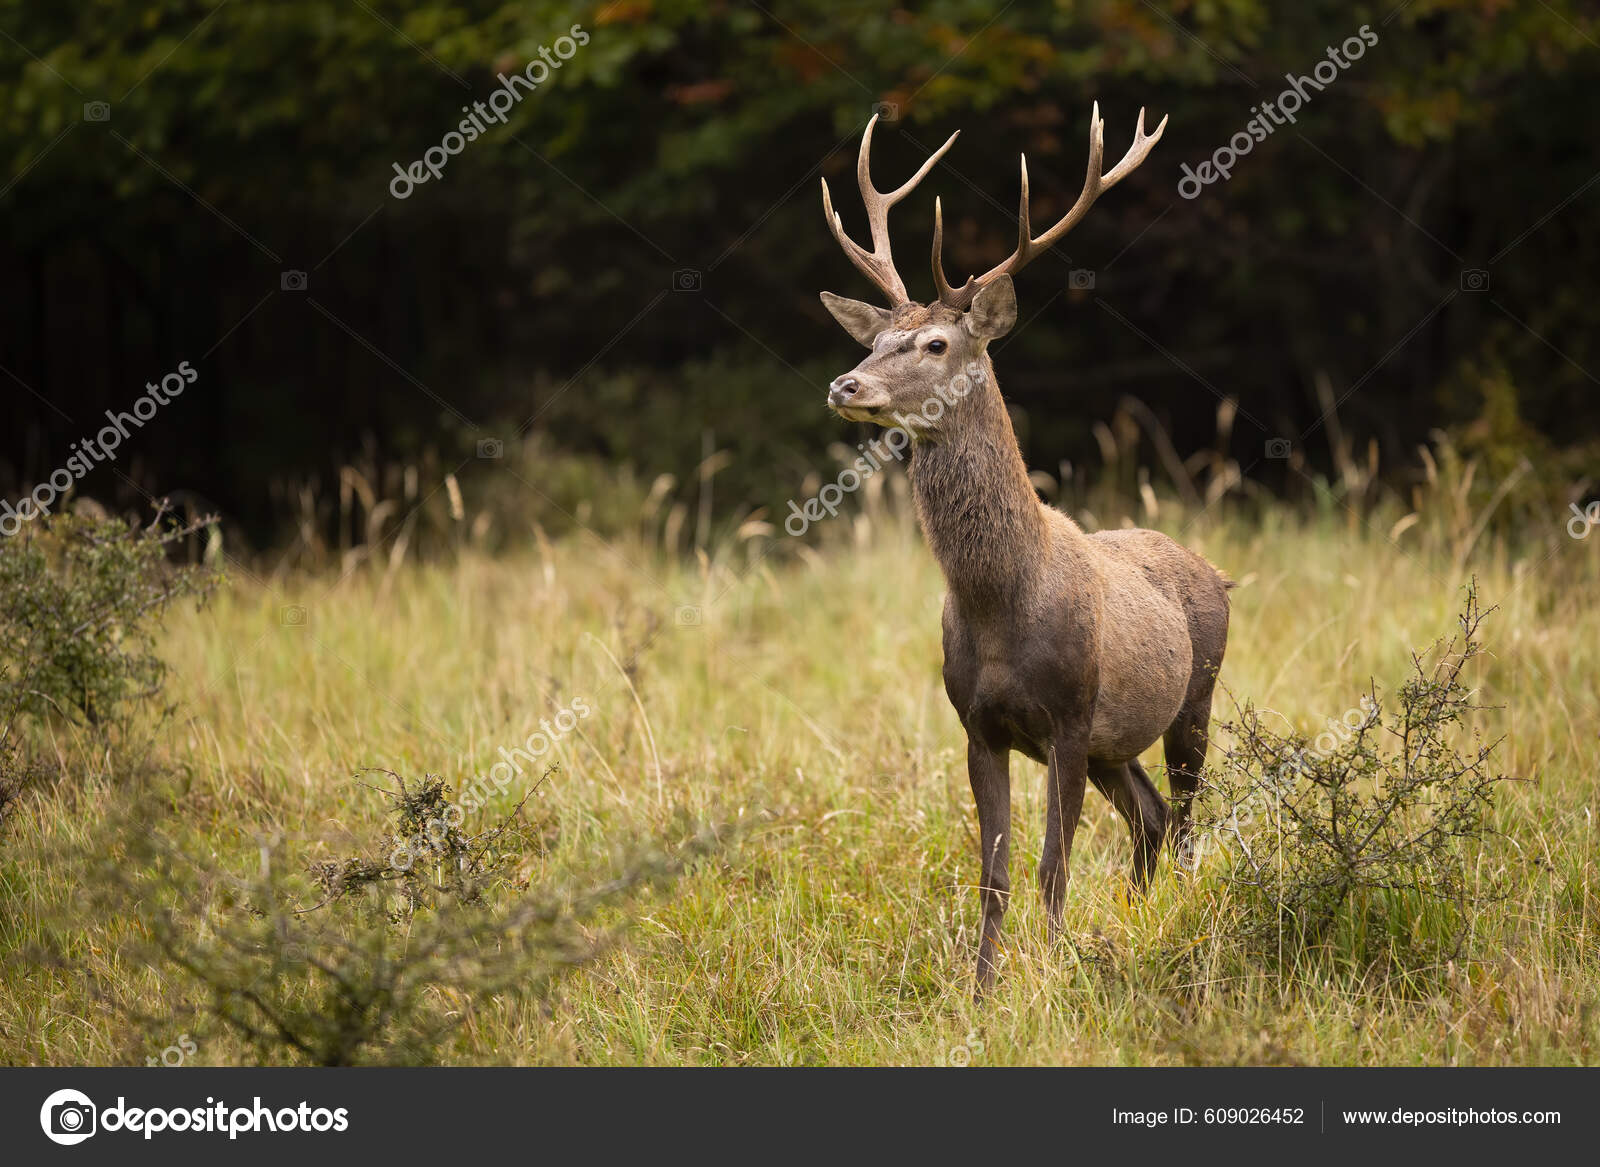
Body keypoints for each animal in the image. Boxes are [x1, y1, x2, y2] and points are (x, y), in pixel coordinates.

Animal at [817, 106, 1233, 993]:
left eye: (936, 344)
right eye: (879, 338)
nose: (846, 385)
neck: (1002, 603)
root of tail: (1214, 571)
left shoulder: (1070, 717)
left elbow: (1051, 865)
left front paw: (1051, 973)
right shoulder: (978, 723)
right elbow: (995, 871)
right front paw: (983, 987)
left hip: (1196, 691)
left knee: (1185, 820)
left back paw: (1178, 916)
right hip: (1116, 741)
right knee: (1150, 817)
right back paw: (1138, 918)